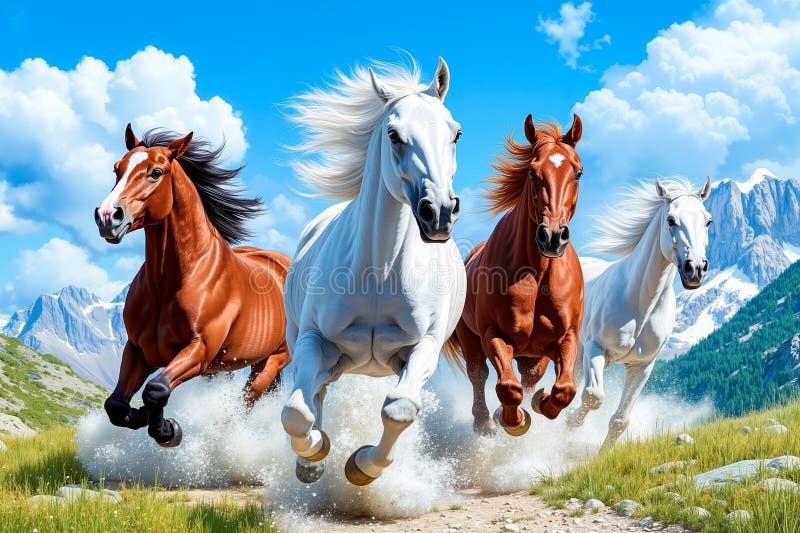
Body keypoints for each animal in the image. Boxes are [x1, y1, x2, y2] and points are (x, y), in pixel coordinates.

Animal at [94, 125, 291, 447]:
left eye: (156, 172)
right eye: (117, 169)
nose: (108, 217)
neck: (169, 283)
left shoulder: (199, 350)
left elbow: (156, 390)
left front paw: (168, 430)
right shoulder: (138, 350)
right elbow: (116, 406)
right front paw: (141, 417)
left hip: (272, 361)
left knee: (246, 403)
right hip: (227, 369)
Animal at [281, 58, 466, 485]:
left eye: (456, 133)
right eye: (393, 135)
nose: (439, 213)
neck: (380, 274)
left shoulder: (423, 346)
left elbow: (399, 409)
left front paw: (362, 466)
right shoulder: (315, 339)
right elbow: (297, 413)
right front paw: (316, 451)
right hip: (306, 343)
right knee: (315, 391)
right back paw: (310, 463)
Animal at [444, 115, 584, 436]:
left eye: (578, 173)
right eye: (533, 172)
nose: (552, 237)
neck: (538, 276)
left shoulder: (566, 336)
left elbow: (564, 389)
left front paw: (542, 402)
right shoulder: (494, 334)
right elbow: (507, 388)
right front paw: (512, 420)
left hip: (533, 352)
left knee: (531, 376)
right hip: (471, 338)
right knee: (479, 374)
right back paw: (485, 421)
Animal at [565, 178, 712, 449]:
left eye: (708, 220)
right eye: (671, 220)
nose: (695, 270)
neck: (641, 303)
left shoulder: (642, 365)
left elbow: (620, 420)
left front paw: (601, 455)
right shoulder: (595, 347)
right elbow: (593, 396)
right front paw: (570, 421)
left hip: (579, 353)